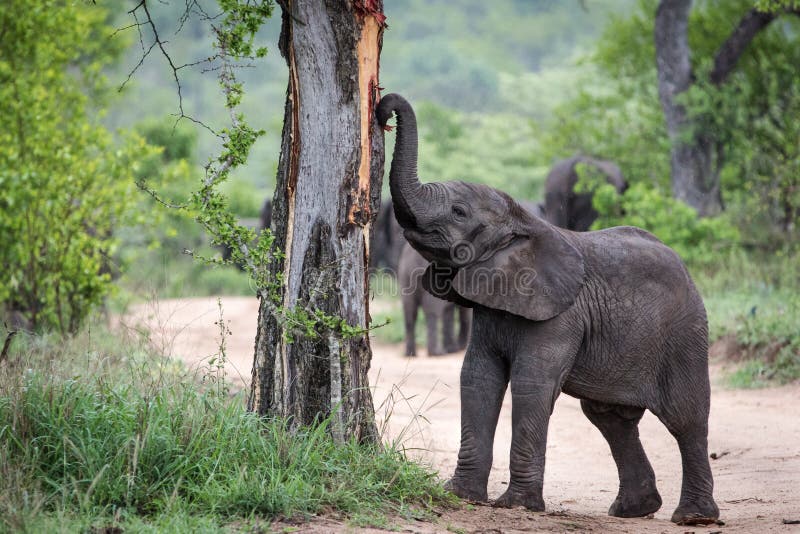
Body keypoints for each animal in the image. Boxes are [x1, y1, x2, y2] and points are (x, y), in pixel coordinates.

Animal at [376, 93, 719, 524]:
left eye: (459, 213)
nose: (383, 110)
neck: (523, 224)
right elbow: (477, 379)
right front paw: (461, 495)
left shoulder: (560, 315)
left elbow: (530, 383)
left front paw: (517, 505)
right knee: (610, 418)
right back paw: (633, 510)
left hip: (685, 332)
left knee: (685, 417)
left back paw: (693, 517)